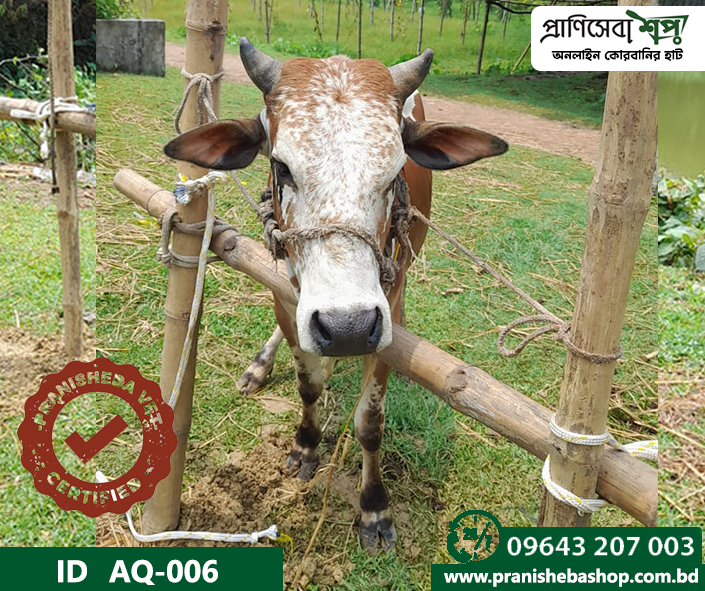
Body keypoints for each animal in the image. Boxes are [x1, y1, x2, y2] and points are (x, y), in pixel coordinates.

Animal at [164, 38, 507, 554]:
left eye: (394, 172)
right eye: (281, 167)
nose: (346, 328)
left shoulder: (386, 317)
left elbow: (369, 423)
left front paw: (374, 508)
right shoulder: (288, 297)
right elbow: (308, 385)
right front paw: (306, 443)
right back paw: (261, 365)